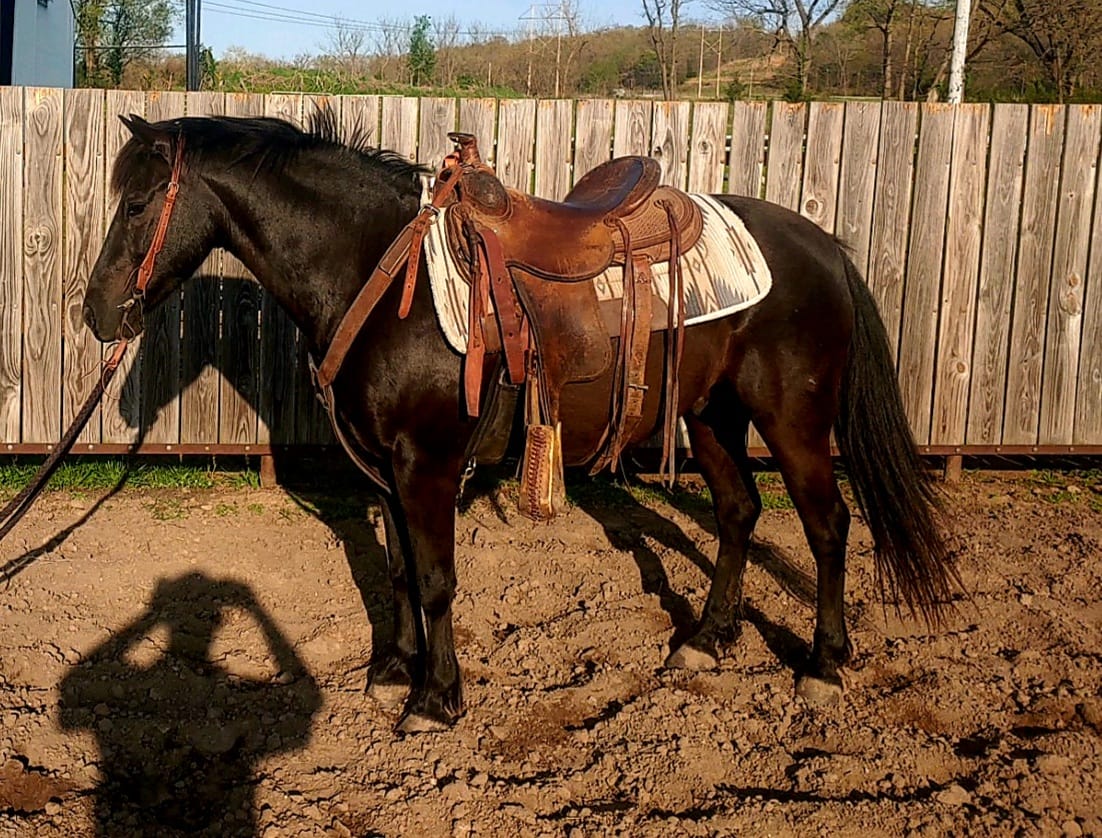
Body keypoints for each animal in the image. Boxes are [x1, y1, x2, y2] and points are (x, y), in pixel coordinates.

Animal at [82, 111, 957, 734]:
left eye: (138, 202)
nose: (96, 314)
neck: (376, 273)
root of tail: (823, 244)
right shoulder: (387, 469)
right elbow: (400, 572)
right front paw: (394, 673)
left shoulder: (427, 465)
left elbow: (437, 580)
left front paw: (437, 700)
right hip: (712, 415)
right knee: (740, 511)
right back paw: (706, 642)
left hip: (794, 420)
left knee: (828, 525)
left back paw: (824, 664)